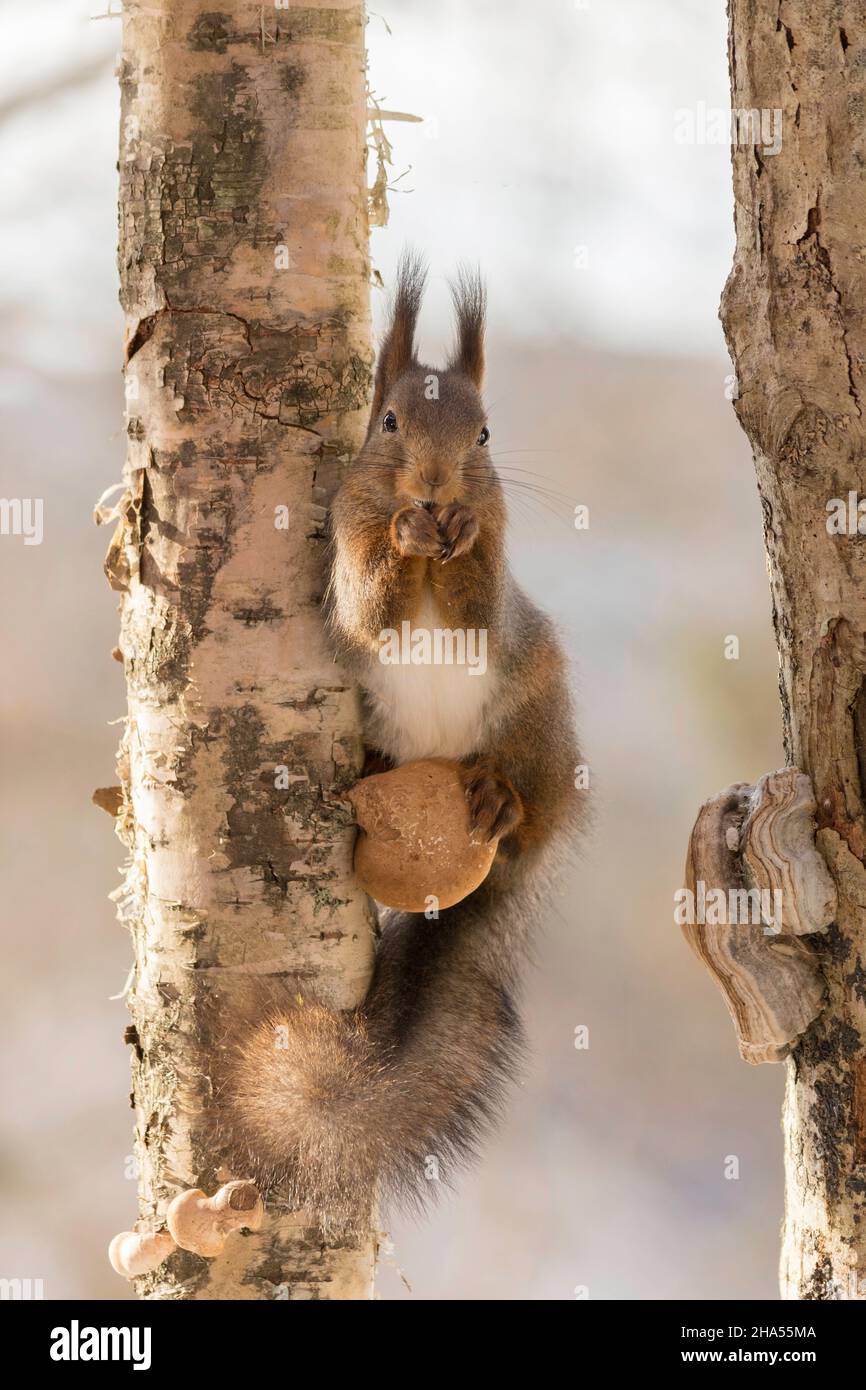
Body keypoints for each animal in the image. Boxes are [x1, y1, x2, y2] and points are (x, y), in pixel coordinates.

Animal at [221, 256, 585, 1231]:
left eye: (485, 431)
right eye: (389, 422)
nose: (435, 487)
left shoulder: (493, 580)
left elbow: (474, 598)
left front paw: (452, 535)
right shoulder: (346, 547)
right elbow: (370, 607)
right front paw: (408, 533)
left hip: (539, 716)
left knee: (531, 815)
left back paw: (500, 800)